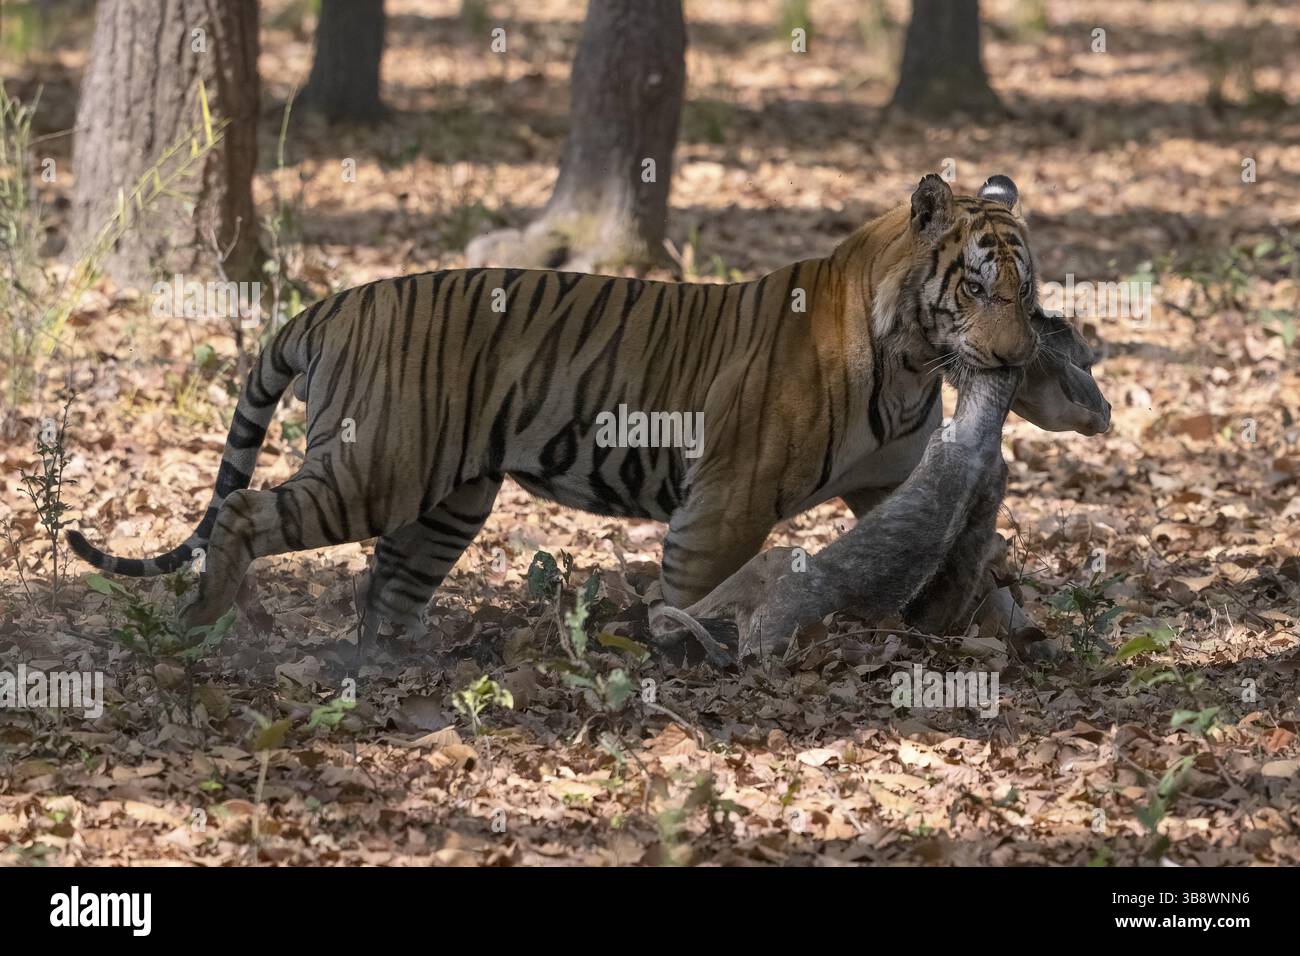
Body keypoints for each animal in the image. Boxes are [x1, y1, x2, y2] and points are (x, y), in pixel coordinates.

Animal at [68, 173, 1068, 643]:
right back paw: (206, 627)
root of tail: (335, 301)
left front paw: (999, 622)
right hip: (375, 468)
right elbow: (698, 590)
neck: (911, 360)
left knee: (387, 584)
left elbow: (959, 549)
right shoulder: (727, 501)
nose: (1018, 360)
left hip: (449, 497)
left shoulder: (891, 479)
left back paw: (397, 664)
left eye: (1026, 291)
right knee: (243, 511)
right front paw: (689, 647)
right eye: (976, 285)